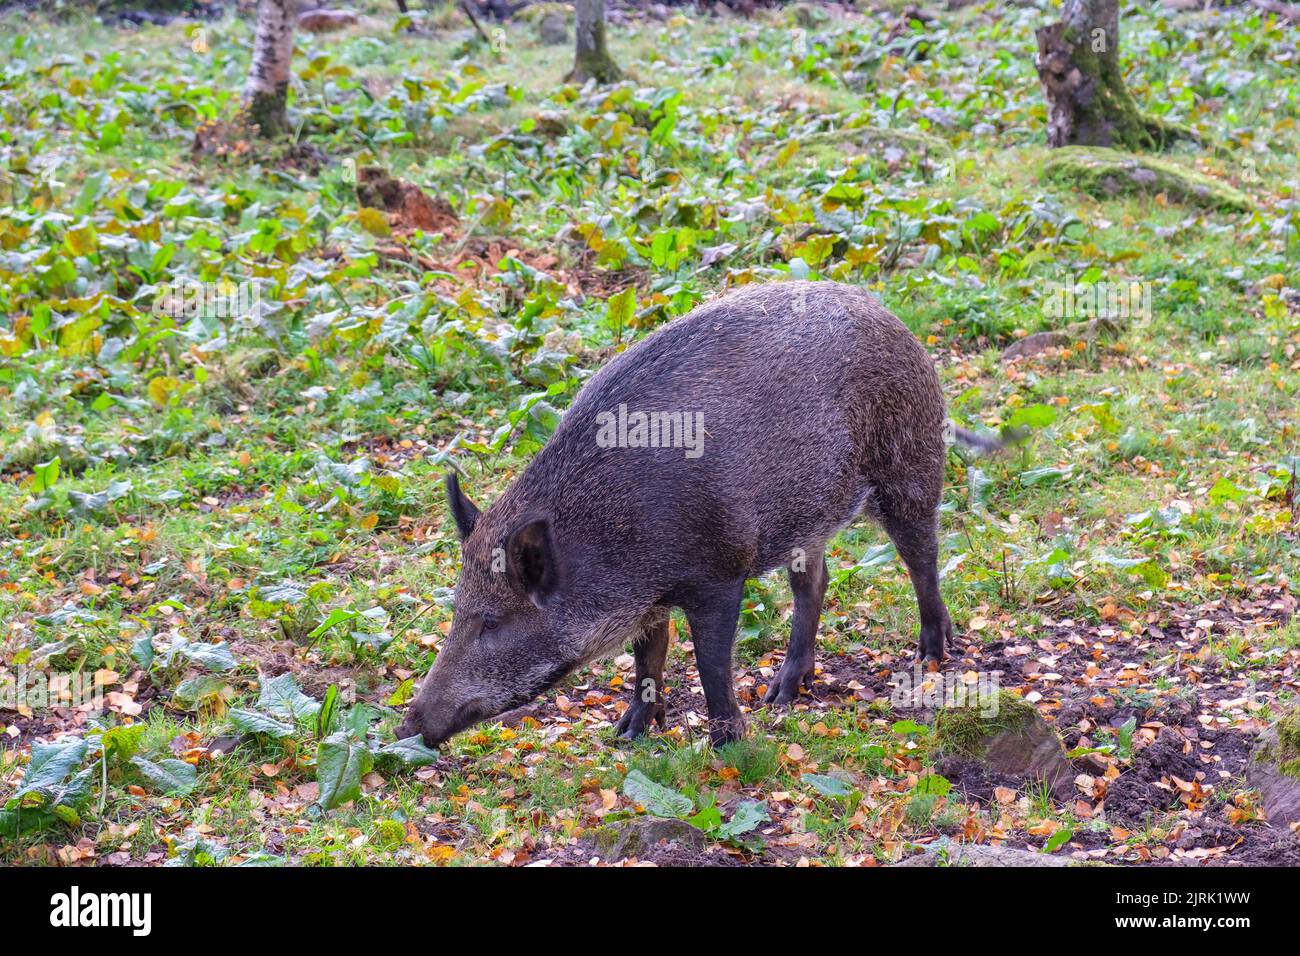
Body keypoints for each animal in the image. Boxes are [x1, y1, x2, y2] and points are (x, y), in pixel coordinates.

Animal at [397, 280, 990, 749]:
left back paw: (931, 655)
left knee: (922, 556)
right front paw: (629, 732)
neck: (611, 534)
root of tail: (889, 315)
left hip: (910, 469)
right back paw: (781, 695)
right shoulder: (650, 601)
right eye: (456, 609)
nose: (407, 725)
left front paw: (728, 744)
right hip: (808, 519)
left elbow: (710, 663)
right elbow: (648, 658)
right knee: (814, 583)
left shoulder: (719, 576)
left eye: (493, 621)